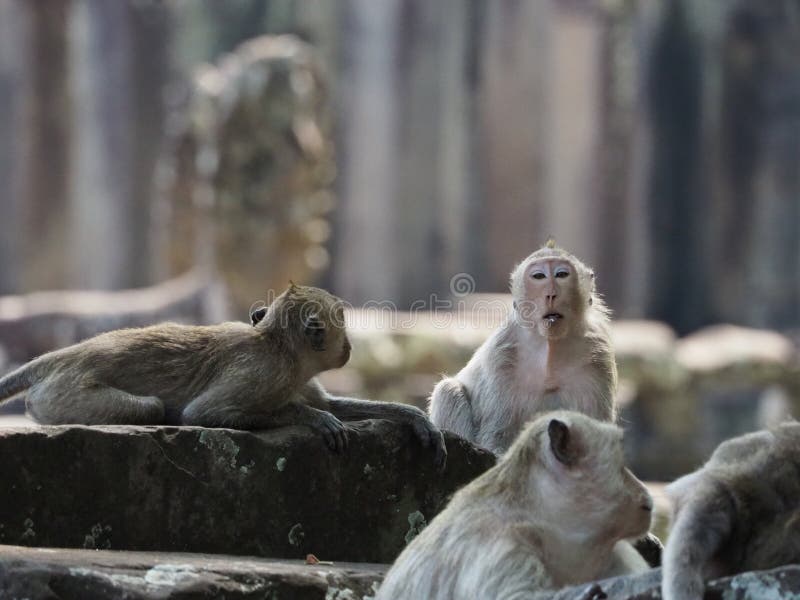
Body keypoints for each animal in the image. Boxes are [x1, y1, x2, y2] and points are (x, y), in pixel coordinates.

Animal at [0, 283, 446, 468]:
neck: (279, 347)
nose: (351, 346)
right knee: (151, 408)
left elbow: (333, 403)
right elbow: (202, 413)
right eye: (344, 328)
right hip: (64, 393)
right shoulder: (265, 372)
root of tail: (63, 356)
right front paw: (313, 419)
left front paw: (415, 418)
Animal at [429, 240, 616, 456]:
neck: (549, 347)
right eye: (539, 276)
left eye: (561, 274)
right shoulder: (502, 355)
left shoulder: (597, 354)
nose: (551, 294)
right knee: (447, 391)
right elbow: (496, 435)